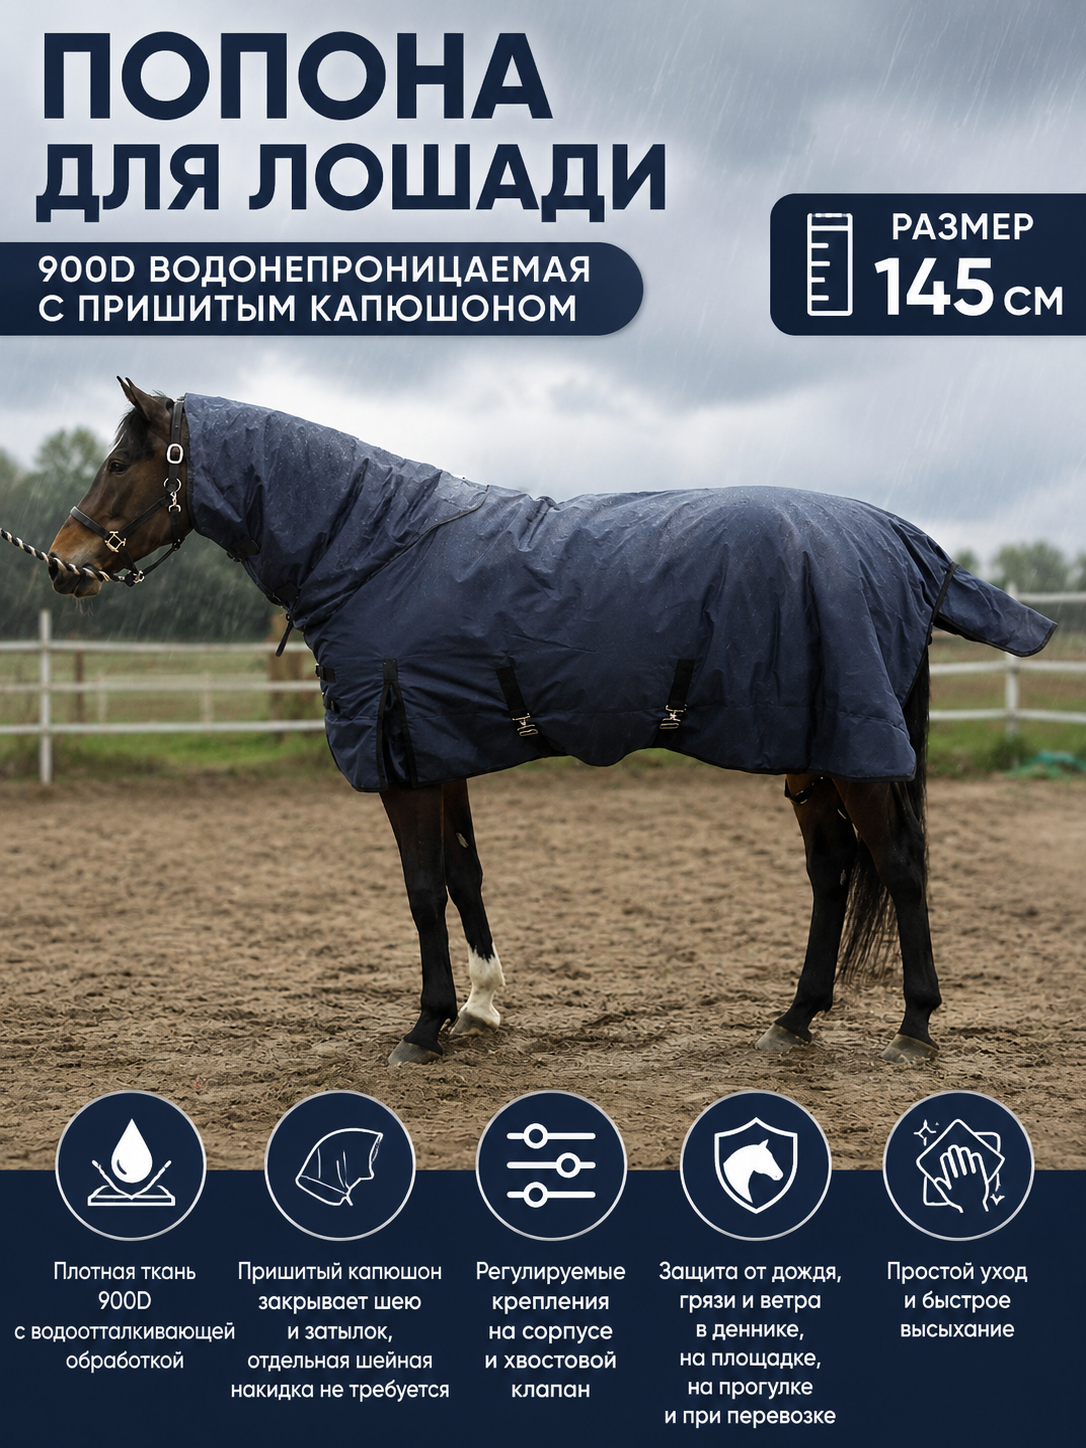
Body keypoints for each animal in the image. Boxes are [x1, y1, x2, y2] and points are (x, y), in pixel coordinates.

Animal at [46, 380, 1055, 1069]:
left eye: (123, 462)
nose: (62, 562)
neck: (377, 548)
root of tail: (901, 540)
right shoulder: (436, 750)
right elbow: (464, 877)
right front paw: (483, 1006)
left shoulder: (404, 763)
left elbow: (421, 890)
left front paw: (425, 1026)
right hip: (812, 754)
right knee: (834, 870)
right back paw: (795, 1017)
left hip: (857, 754)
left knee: (900, 867)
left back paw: (914, 1027)